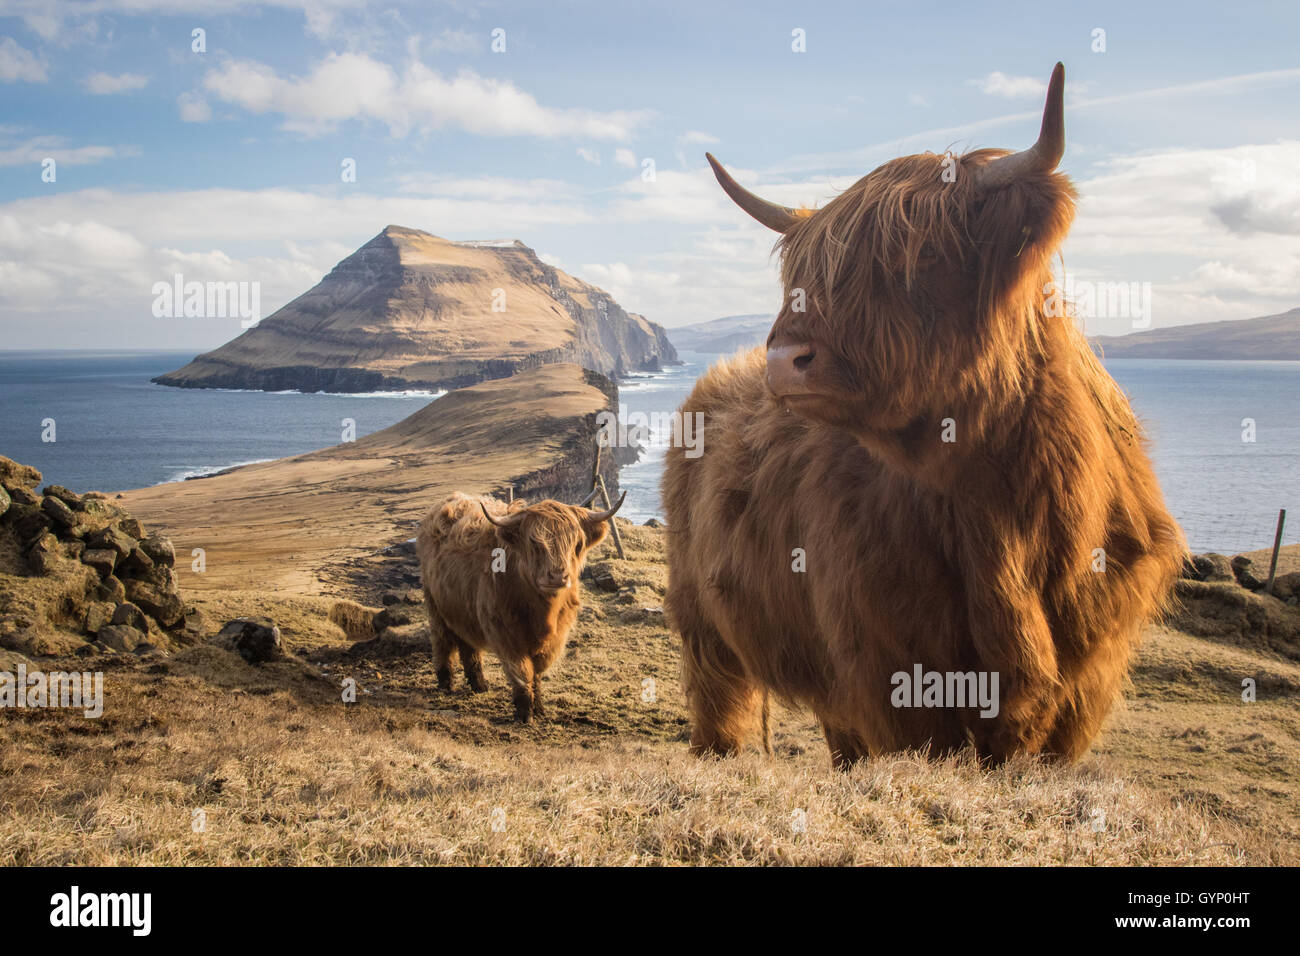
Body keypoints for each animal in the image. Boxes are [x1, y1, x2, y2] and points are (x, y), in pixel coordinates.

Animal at [416, 489, 625, 722]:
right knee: (442, 642)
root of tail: (451, 499)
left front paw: (539, 708)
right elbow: (522, 671)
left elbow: (537, 671)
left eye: (576, 543)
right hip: (435, 607)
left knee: (468, 646)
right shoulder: (505, 633)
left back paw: (479, 685)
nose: (557, 576)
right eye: (534, 543)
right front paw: (524, 712)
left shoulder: (556, 634)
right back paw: (445, 683)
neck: (541, 611)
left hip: (462, 610)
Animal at [662, 63, 1185, 768]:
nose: (783, 360)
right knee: (721, 703)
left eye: (922, 257)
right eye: (801, 273)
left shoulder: (1082, 683)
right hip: (705, 625)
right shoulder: (893, 673)